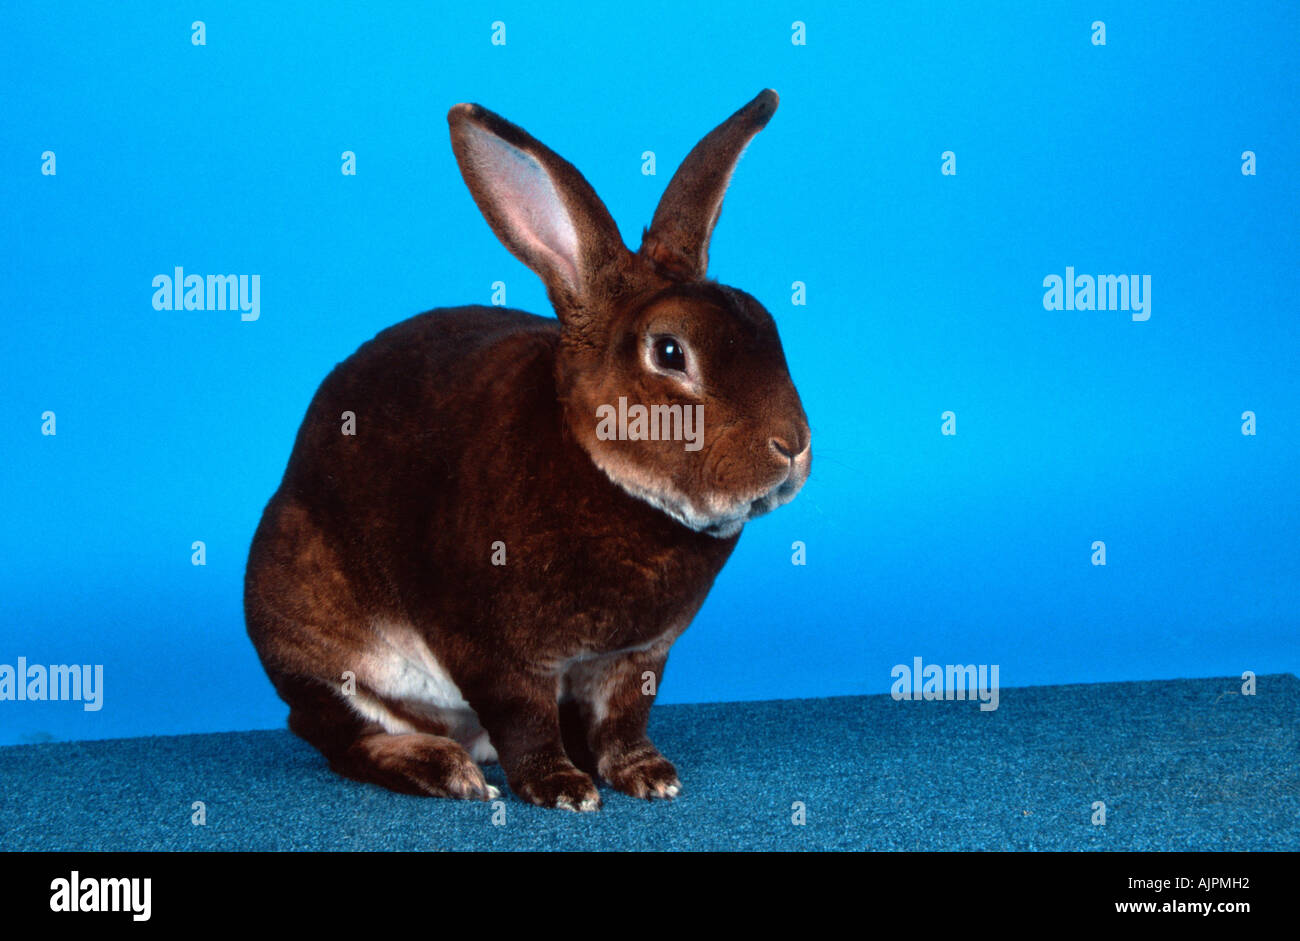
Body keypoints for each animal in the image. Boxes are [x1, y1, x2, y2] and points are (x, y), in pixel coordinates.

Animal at [244, 89, 811, 811]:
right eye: (669, 352)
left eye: (767, 323)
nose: (793, 446)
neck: (608, 474)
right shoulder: (495, 654)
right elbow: (525, 719)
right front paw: (561, 787)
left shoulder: (640, 657)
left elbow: (625, 719)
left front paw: (648, 775)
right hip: (317, 644)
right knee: (339, 733)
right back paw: (444, 769)